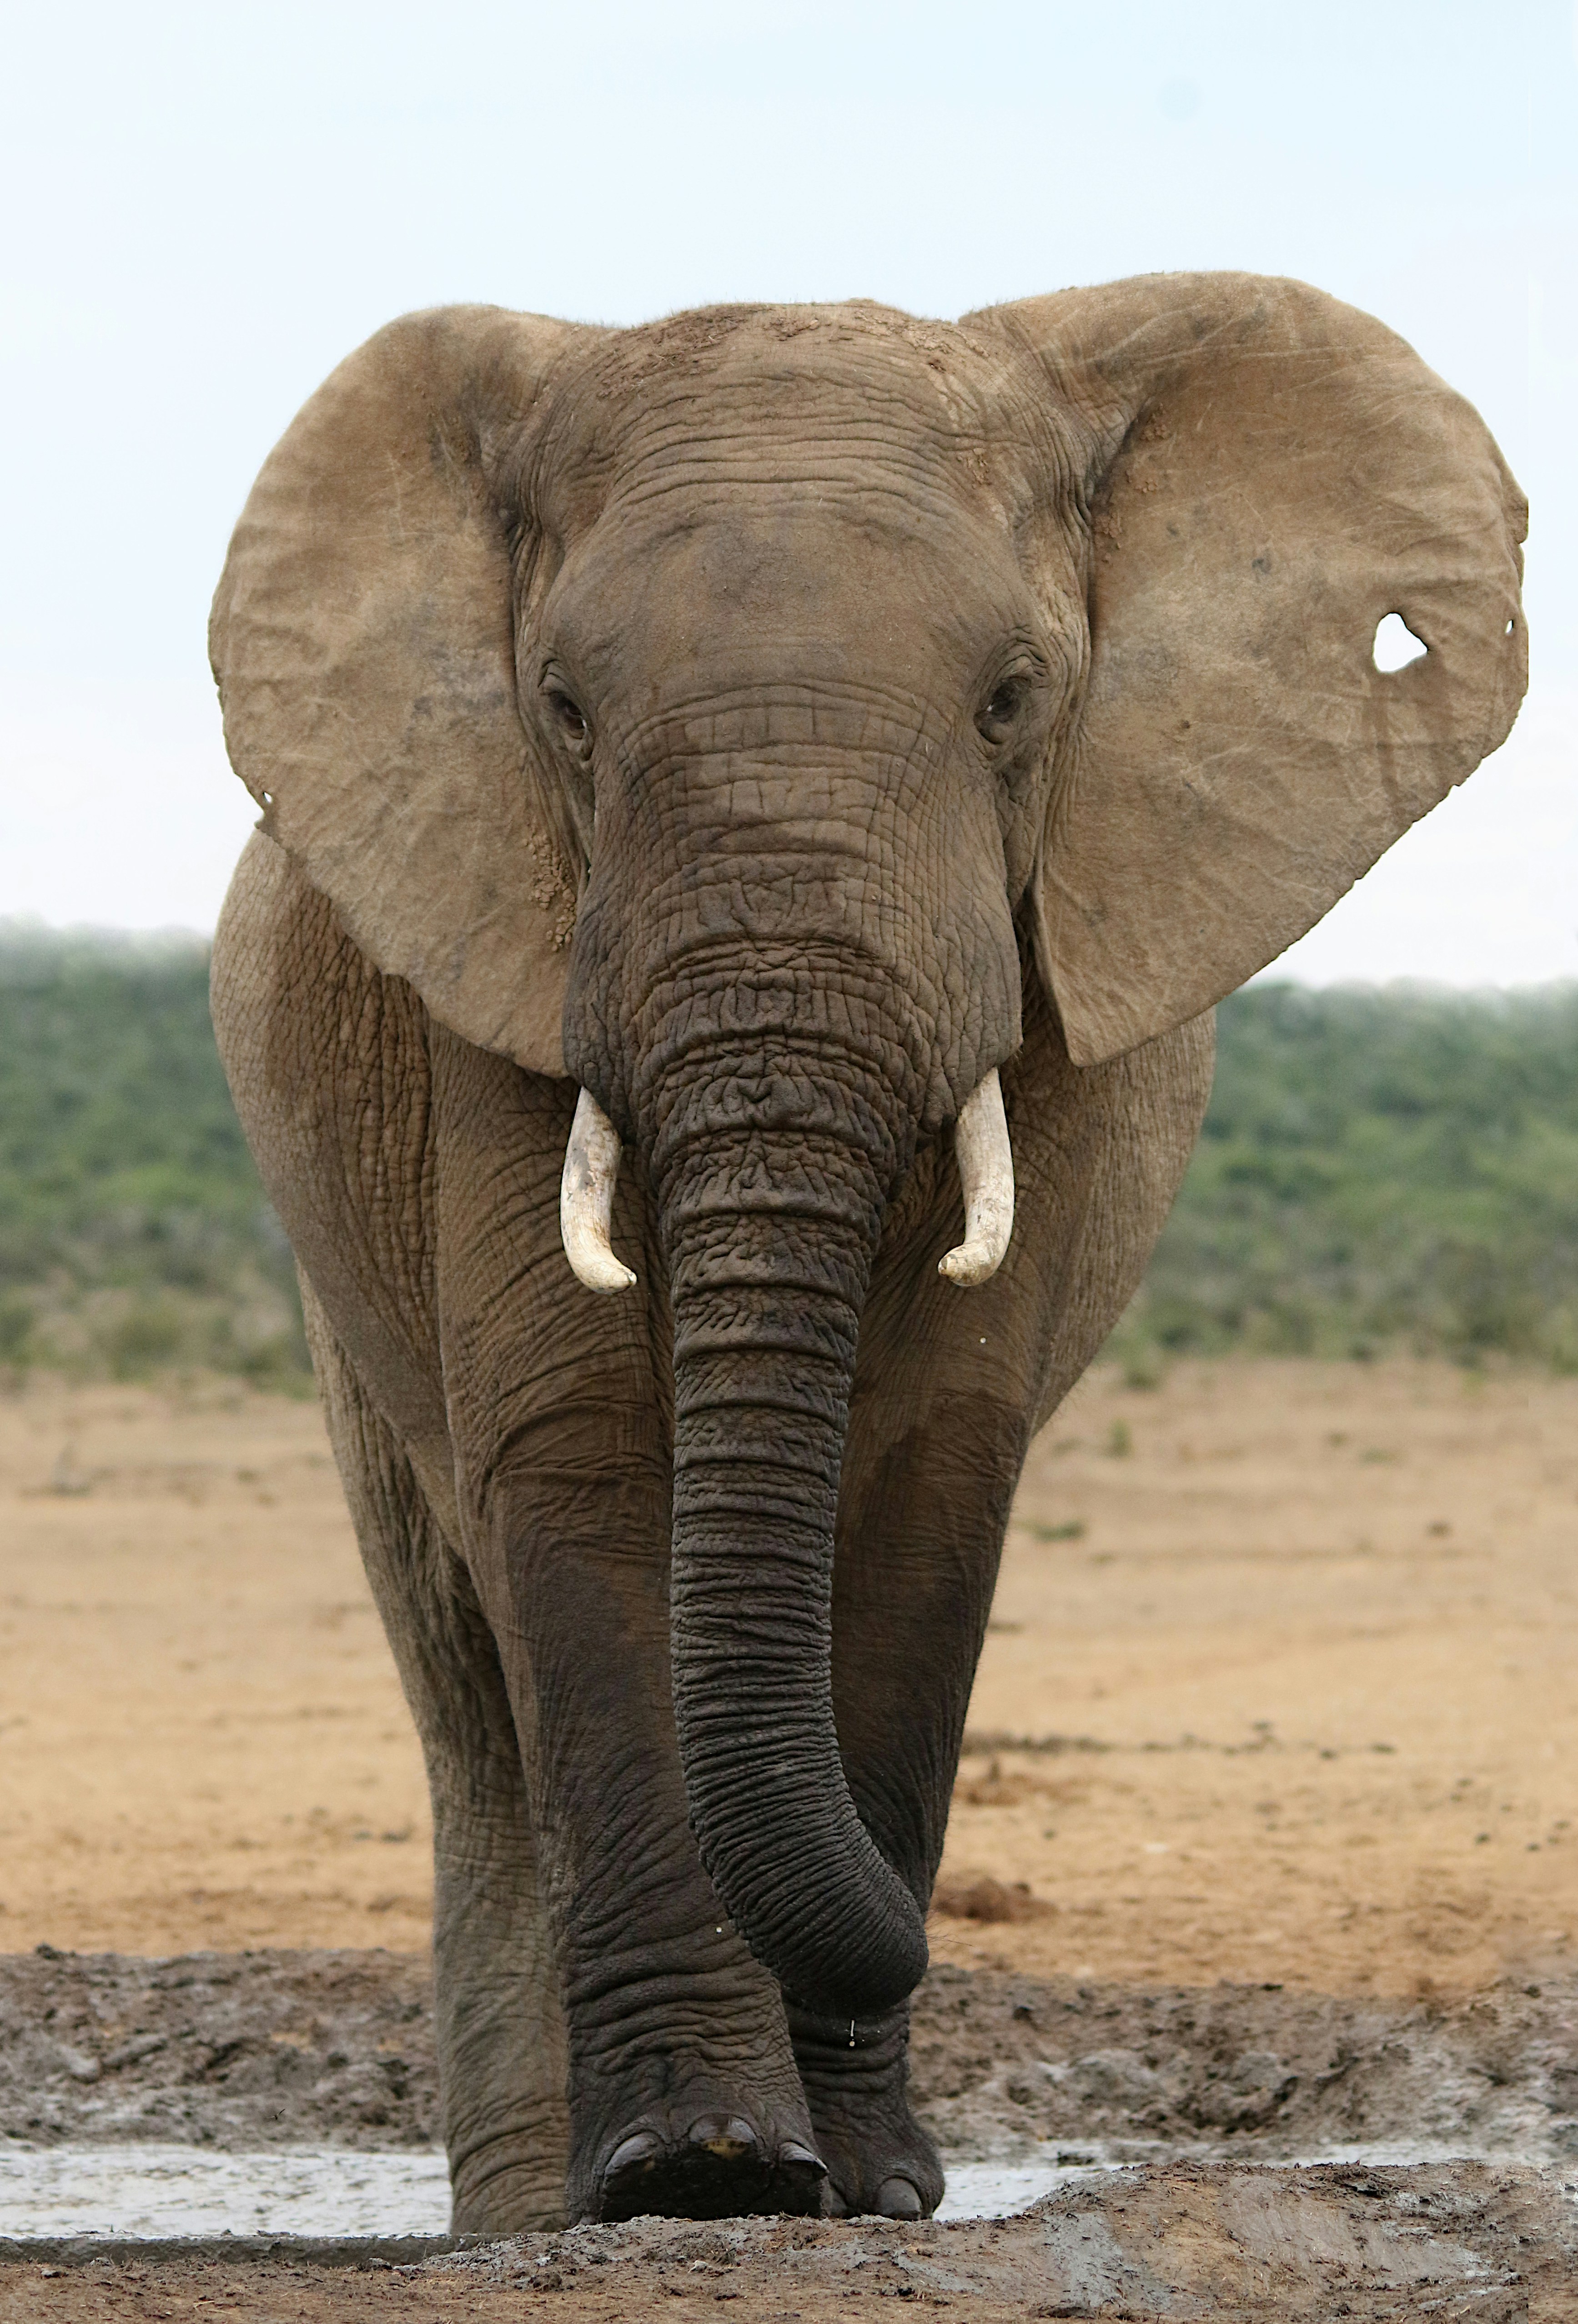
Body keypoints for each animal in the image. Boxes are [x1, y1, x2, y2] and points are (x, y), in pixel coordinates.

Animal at [207, 274, 1525, 2231]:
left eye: (1012, 700)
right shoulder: (497, 949)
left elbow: (929, 1474)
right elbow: (578, 1447)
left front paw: (873, 2182)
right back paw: (526, 2209)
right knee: (465, 1682)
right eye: (564, 712)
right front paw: (703, 2170)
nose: (925, 1932)